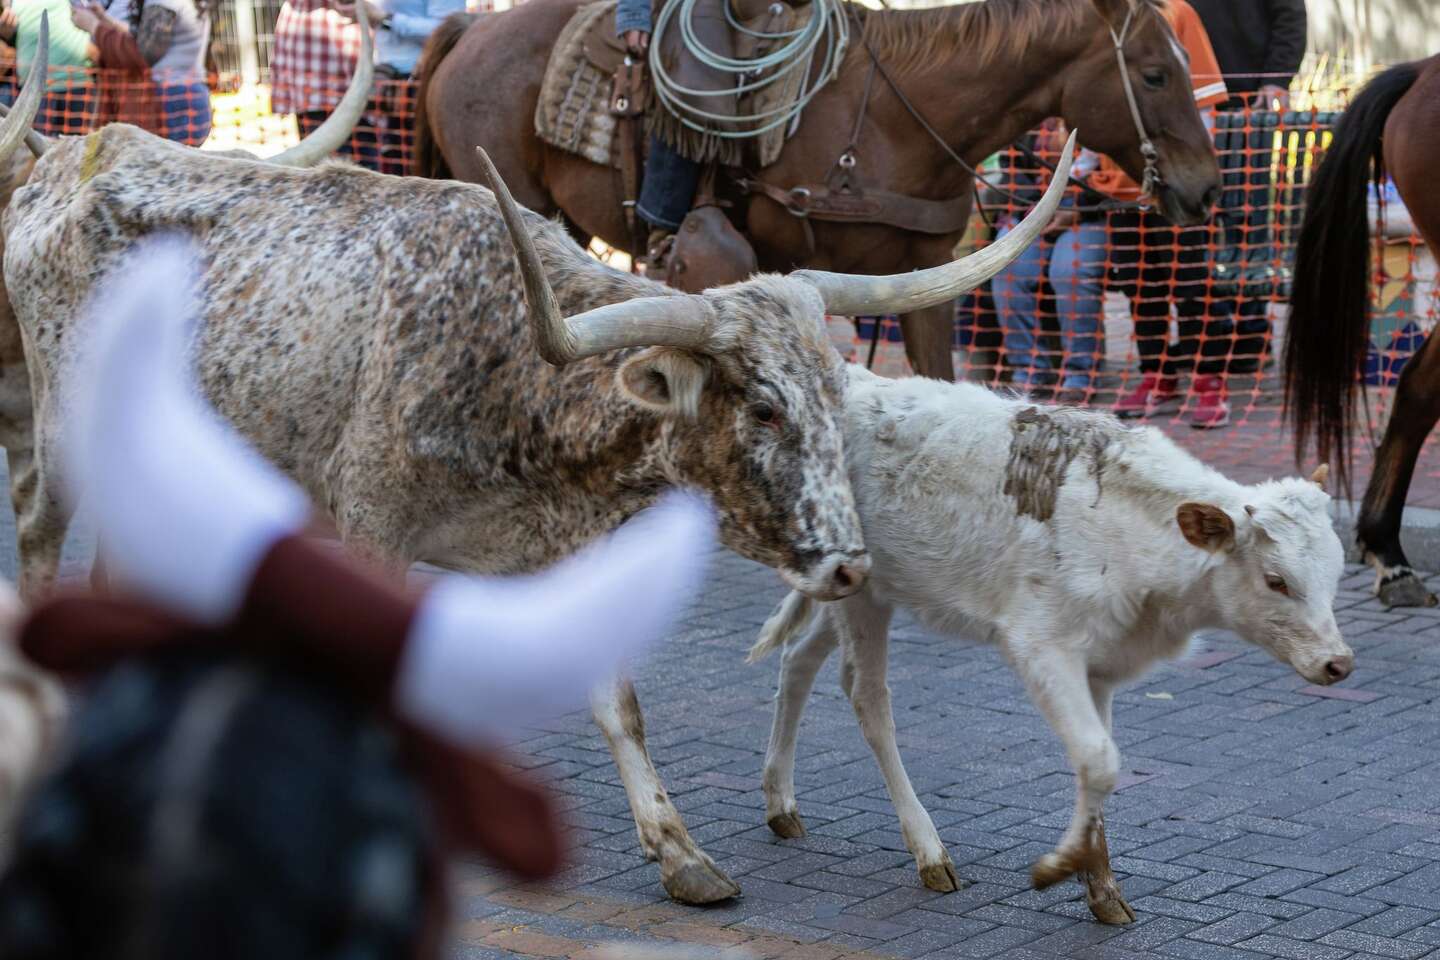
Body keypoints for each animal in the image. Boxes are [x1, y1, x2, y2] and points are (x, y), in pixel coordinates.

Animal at [0, 80, 1075, 901]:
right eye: (765, 409)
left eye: (837, 394)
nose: (851, 565)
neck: (513, 362)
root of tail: (75, 157)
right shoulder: (370, 527)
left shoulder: (569, 551)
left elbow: (620, 703)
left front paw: (681, 853)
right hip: (62, 434)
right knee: (41, 538)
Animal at [748, 366, 1354, 922]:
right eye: (1276, 580)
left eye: (1336, 570)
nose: (1339, 663)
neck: (1128, 532)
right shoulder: (1040, 646)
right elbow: (1100, 759)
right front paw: (1058, 867)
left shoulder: (1102, 665)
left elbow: (1098, 764)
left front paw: (1102, 888)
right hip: (861, 598)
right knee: (867, 696)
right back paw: (928, 851)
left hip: (853, 588)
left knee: (798, 658)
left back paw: (781, 803)